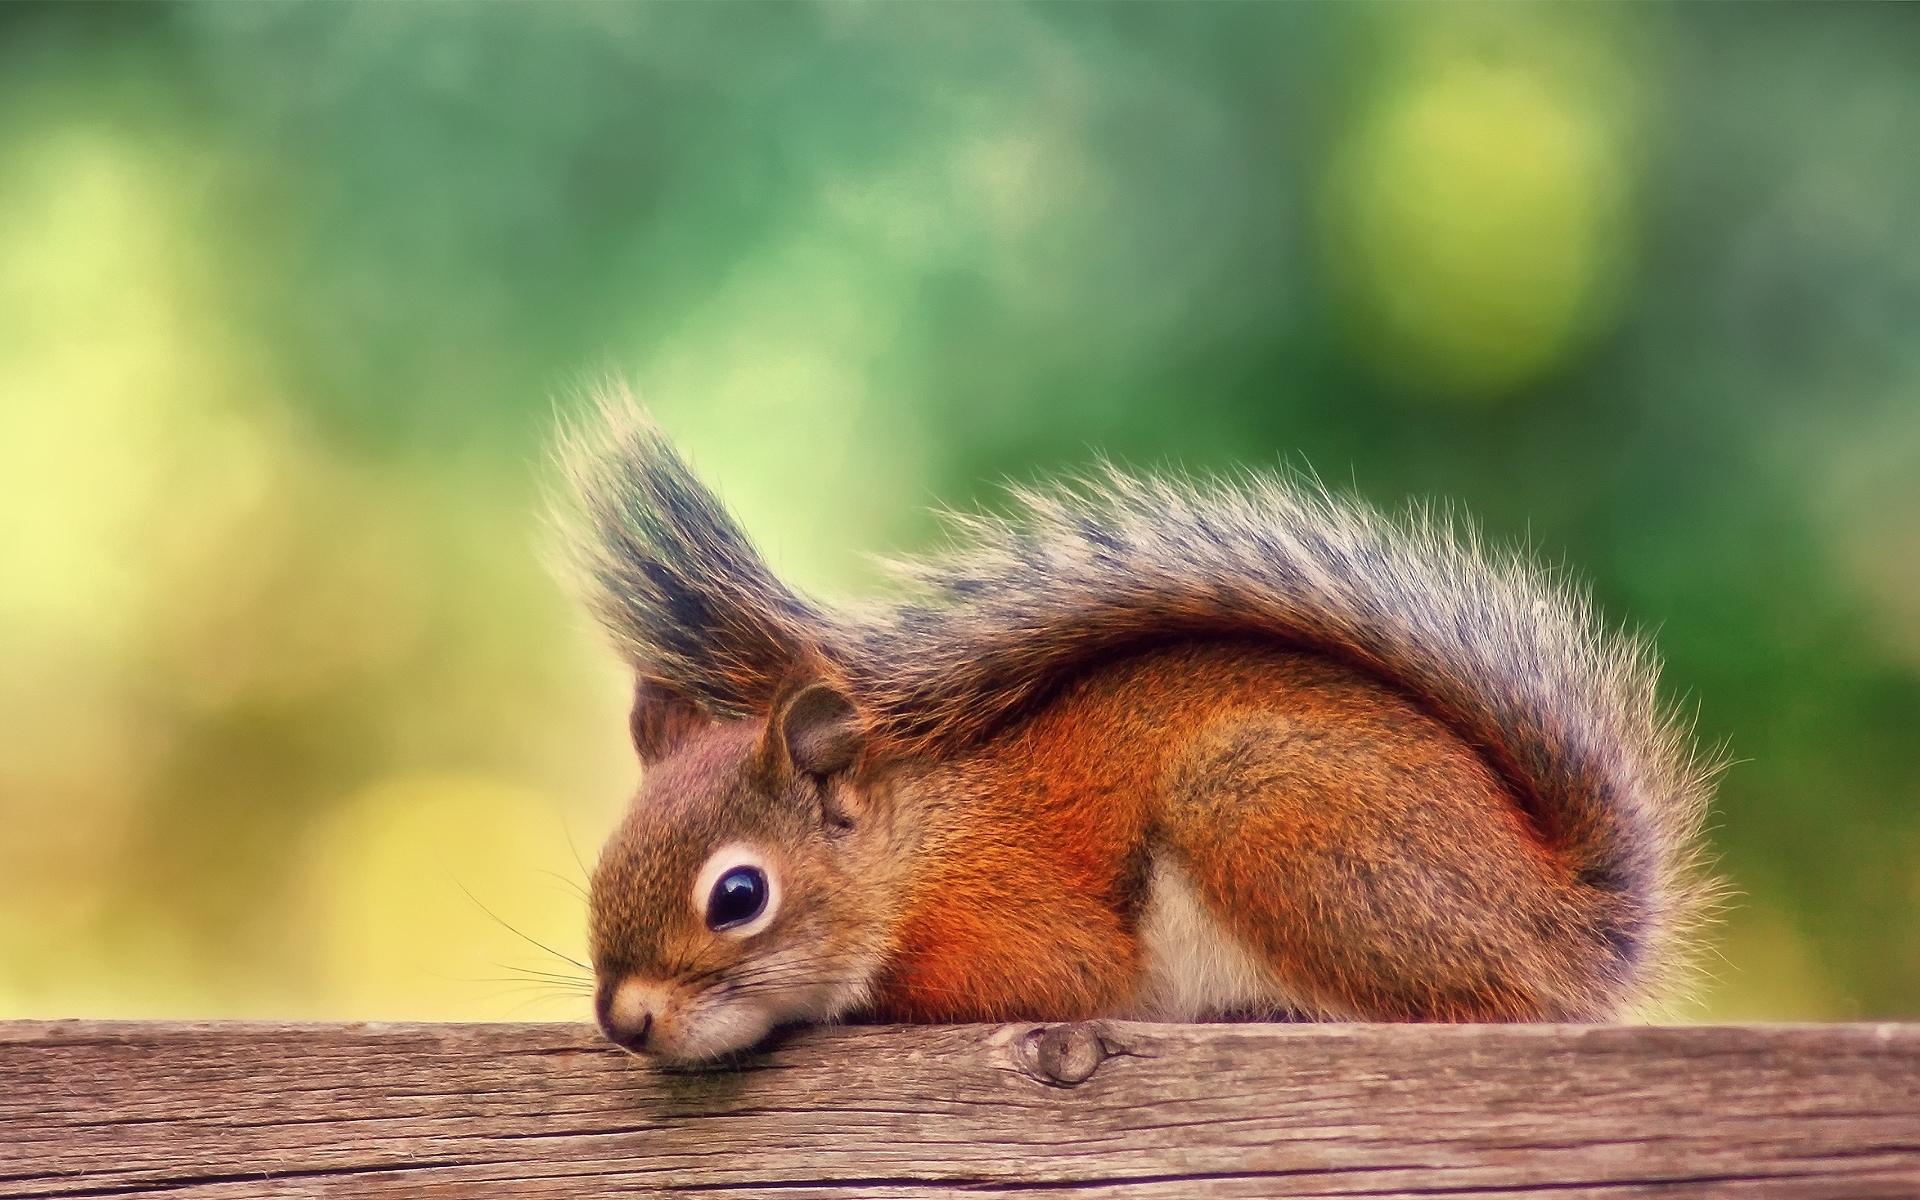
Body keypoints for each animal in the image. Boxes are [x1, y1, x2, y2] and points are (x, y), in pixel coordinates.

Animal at [562, 397, 1717, 1063]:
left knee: (1477, 1003)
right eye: (601, 870)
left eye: (739, 896)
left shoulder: (1021, 933)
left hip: (1277, 818)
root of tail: (1564, 917)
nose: (626, 1022)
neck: (917, 860)